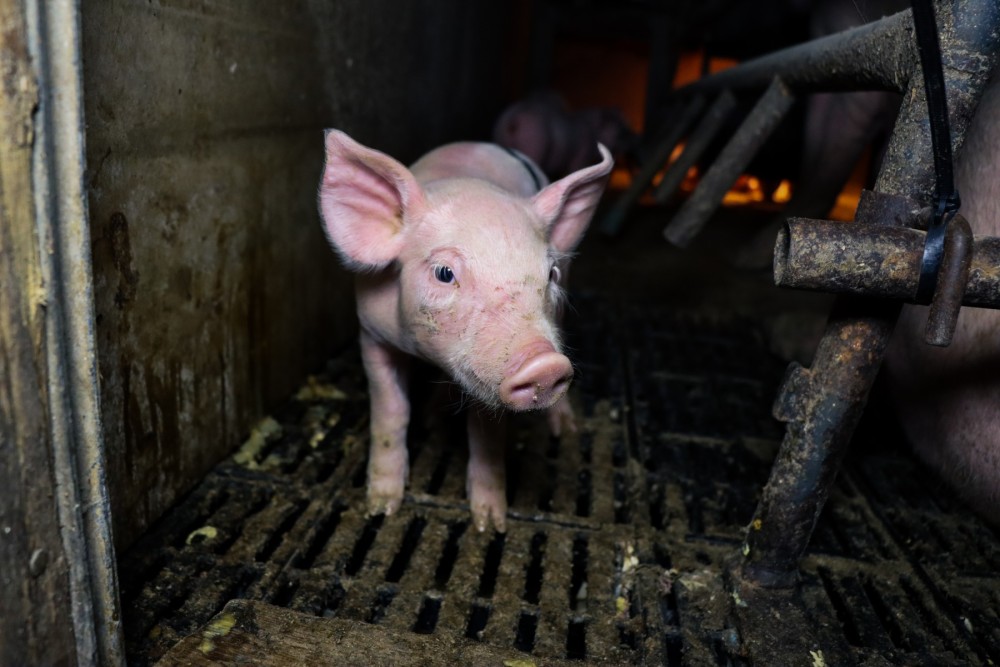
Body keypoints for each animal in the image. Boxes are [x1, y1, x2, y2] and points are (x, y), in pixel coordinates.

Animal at [318, 130, 613, 532]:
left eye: (550, 273)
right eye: (444, 273)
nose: (545, 364)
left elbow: (485, 433)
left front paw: (490, 523)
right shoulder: (371, 335)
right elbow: (391, 412)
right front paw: (381, 506)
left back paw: (564, 429)